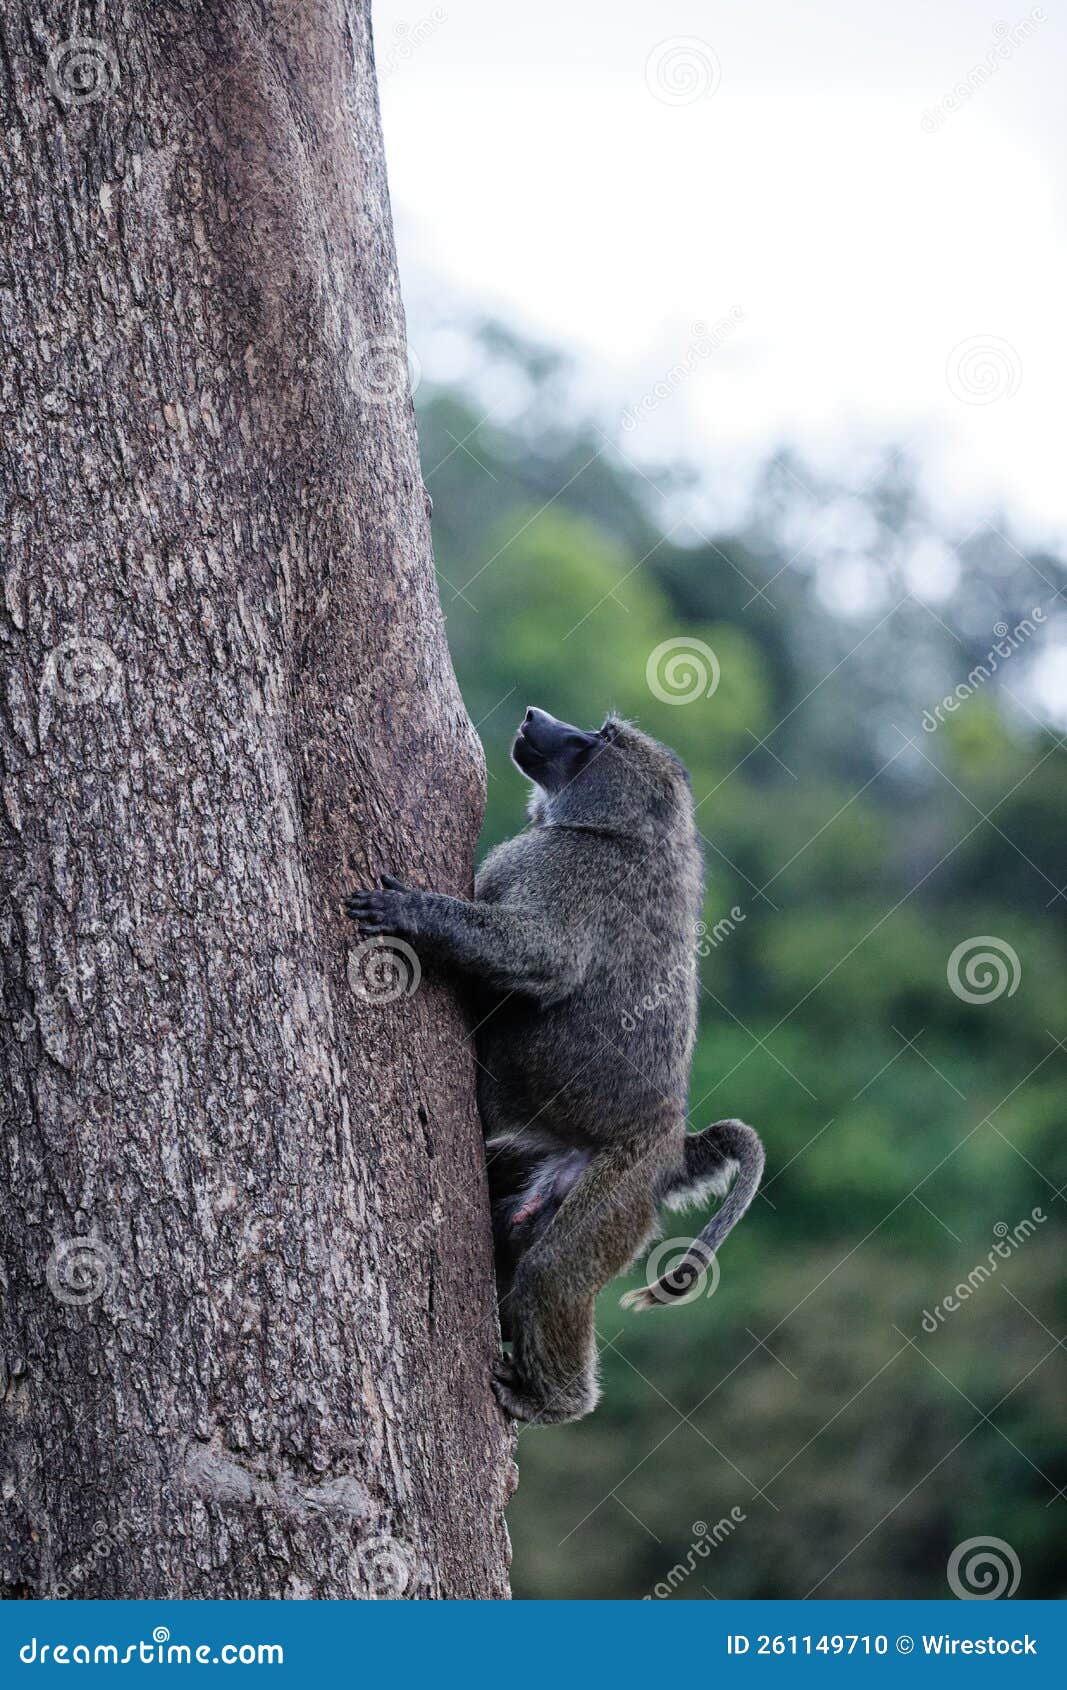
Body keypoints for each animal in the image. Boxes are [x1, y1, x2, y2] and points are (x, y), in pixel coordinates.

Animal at [345, 707, 764, 1424]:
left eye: (598, 739)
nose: (536, 717)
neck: (630, 832)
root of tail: (674, 1149)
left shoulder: (563, 865)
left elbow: (542, 958)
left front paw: (411, 912)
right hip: (548, 1164)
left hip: (618, 1193)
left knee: (552, 1277)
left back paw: (555, 1402)